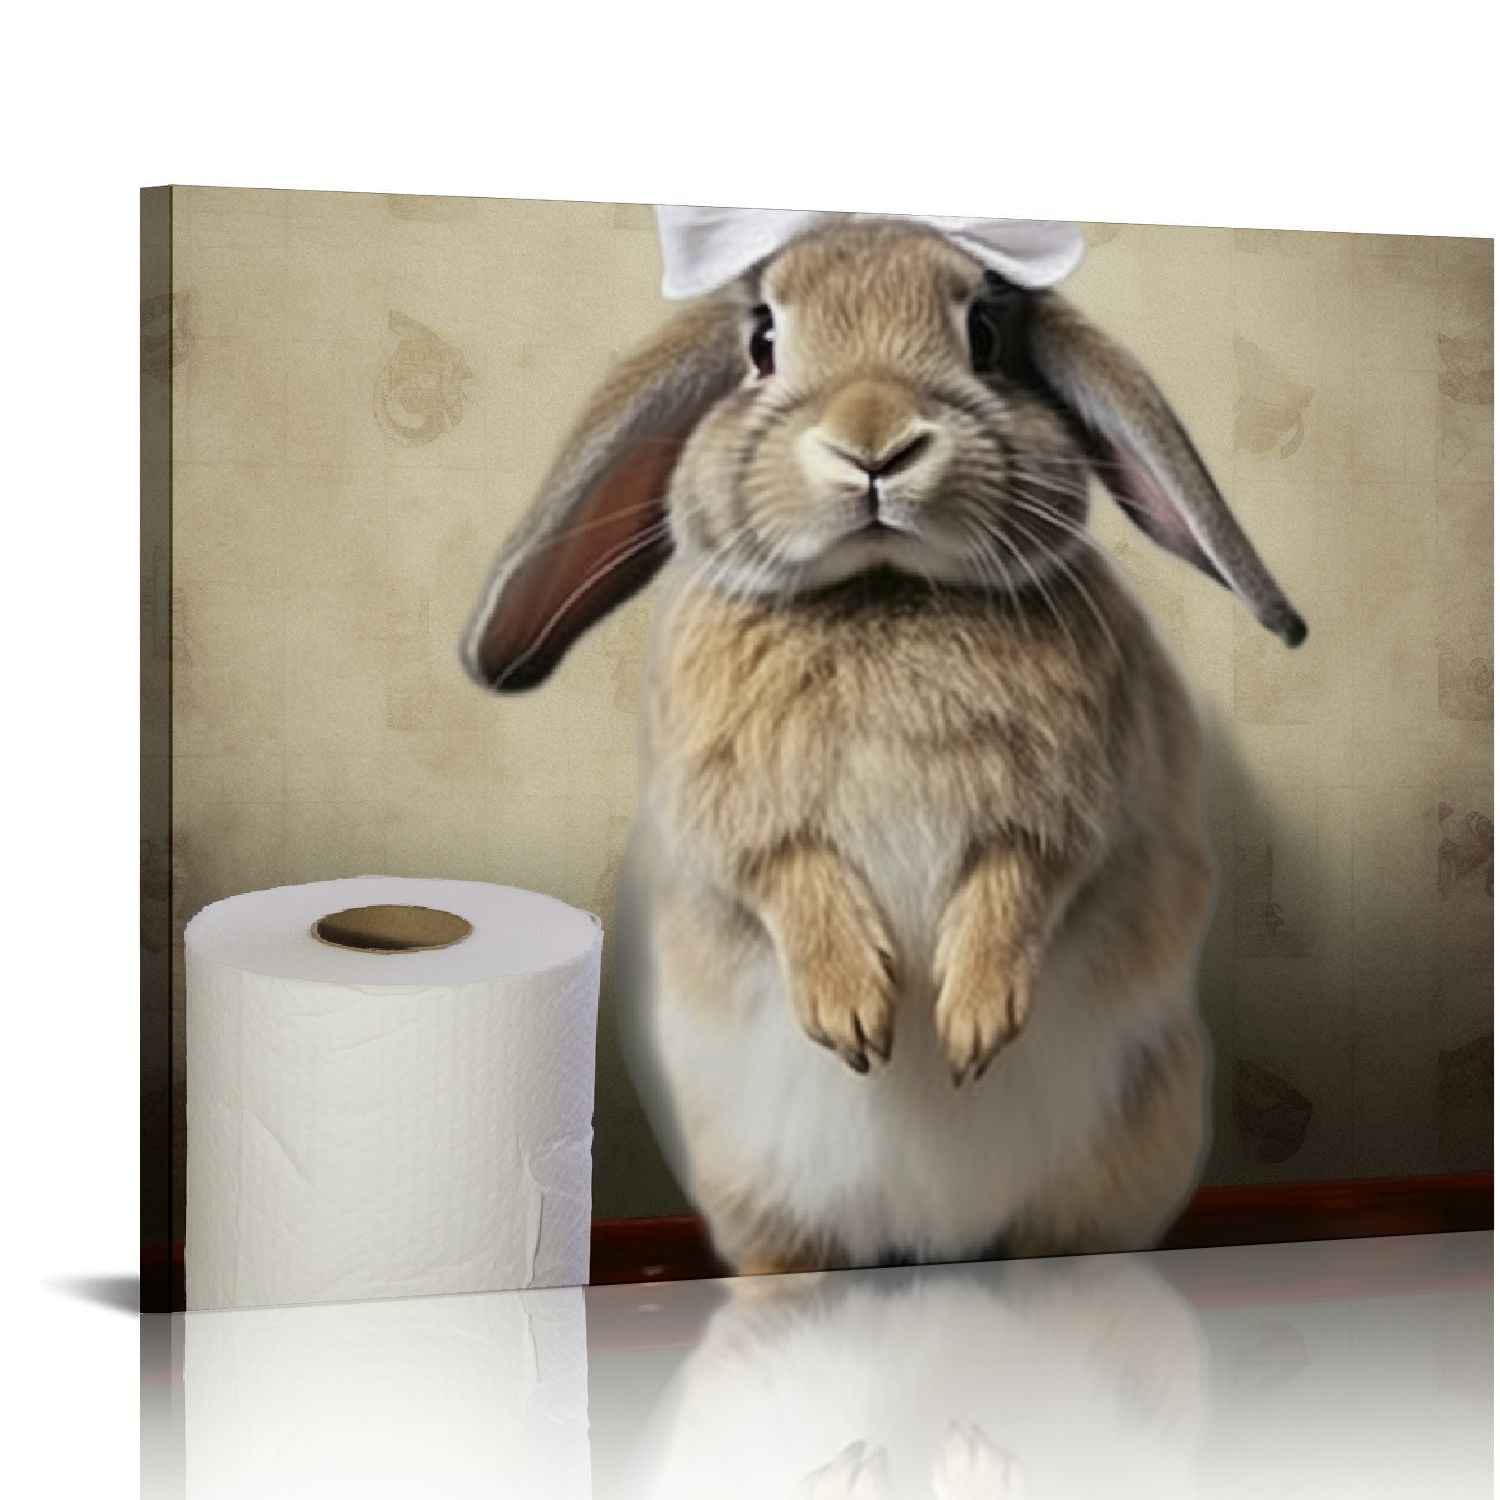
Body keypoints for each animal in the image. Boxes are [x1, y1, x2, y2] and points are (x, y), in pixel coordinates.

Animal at [461, 215, 1306, 1277]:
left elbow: (1019, 883)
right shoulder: (741, 822)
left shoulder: (1075, 815)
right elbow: (789, 876)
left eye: (985, 335)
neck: (885, 590)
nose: (873, 443)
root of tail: (933, 1250)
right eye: (762, 343)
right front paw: (855, 1014)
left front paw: (971, 1026)